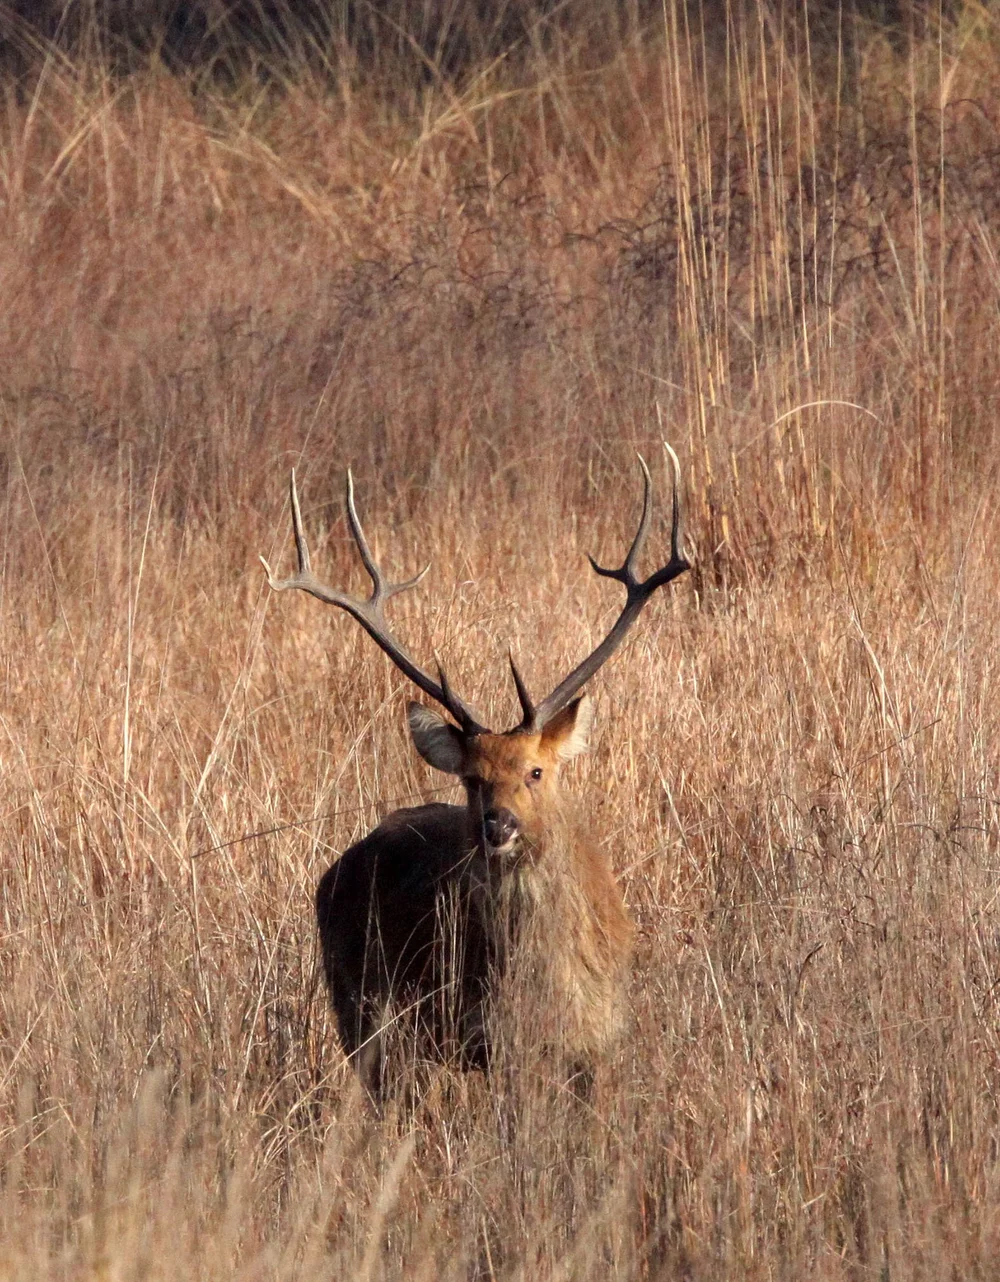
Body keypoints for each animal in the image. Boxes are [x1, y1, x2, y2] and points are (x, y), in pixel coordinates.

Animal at [260, 448, 690, 1099]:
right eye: (472, 778)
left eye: (536, 771)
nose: (498, 824)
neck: (557, 991)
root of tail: (336, 869)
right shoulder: (499, 1041)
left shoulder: (604, 1039)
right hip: (361, 1008)